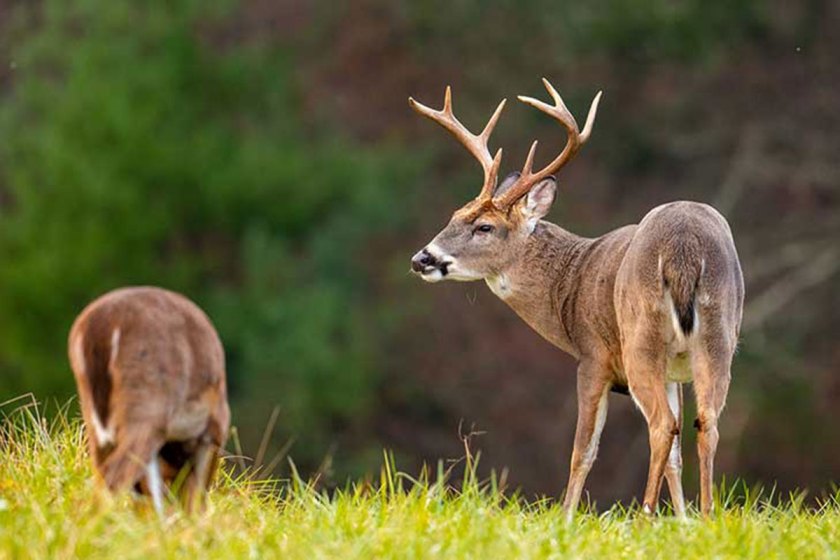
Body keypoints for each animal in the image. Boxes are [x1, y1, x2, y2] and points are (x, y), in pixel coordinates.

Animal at [68, 286, 230, 515]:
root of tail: (103, 327)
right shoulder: (213, 430)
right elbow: (193, 492)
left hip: (95, 417)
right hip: (148, 407)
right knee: (115, 476)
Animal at [408, 79, 744, 518]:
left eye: (484, 227)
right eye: (453, 216)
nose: (422, 258)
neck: (569, 281)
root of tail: (683, 245)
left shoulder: (592, 356)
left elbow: (582, 450)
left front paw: (566, 516)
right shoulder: (674, 370)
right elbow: (675, 457)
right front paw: (683, 520)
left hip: (640, 338)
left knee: (661, 426)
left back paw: (644, 517)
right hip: (718, 337)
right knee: (705, 423)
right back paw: (705, 516)